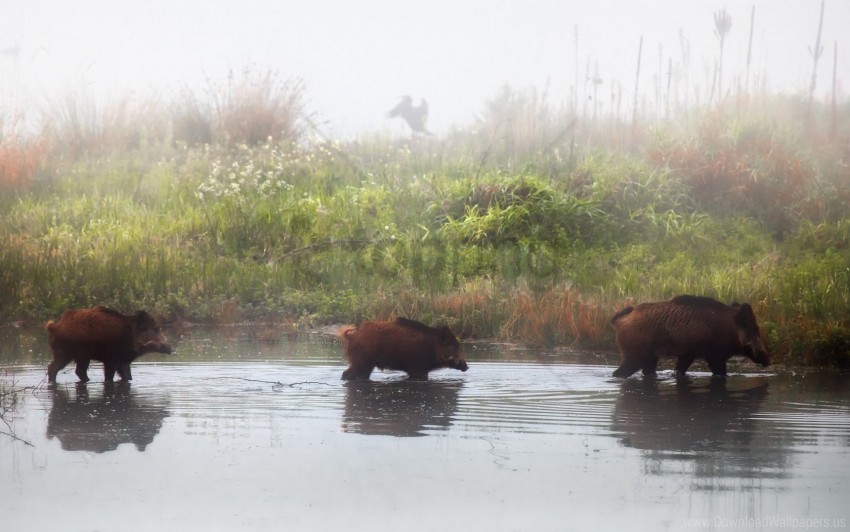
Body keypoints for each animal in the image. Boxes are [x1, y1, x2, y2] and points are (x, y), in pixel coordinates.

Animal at [339, 317, 468, 380]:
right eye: (453, 345)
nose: (466, 367)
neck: (432, 346)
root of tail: (352, 336)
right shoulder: (418, 369)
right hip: (361, 361)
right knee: (346, 374)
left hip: (366, 365)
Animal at [610, 295, 770, 378]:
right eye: (755, 328)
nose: (768, 360)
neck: (729, 327)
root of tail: (618, 322)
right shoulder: (715, 356)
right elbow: (720, 373)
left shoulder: (687, 355)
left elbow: (679, 370)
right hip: (634, 355)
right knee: (618, 373)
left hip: (650, 357)